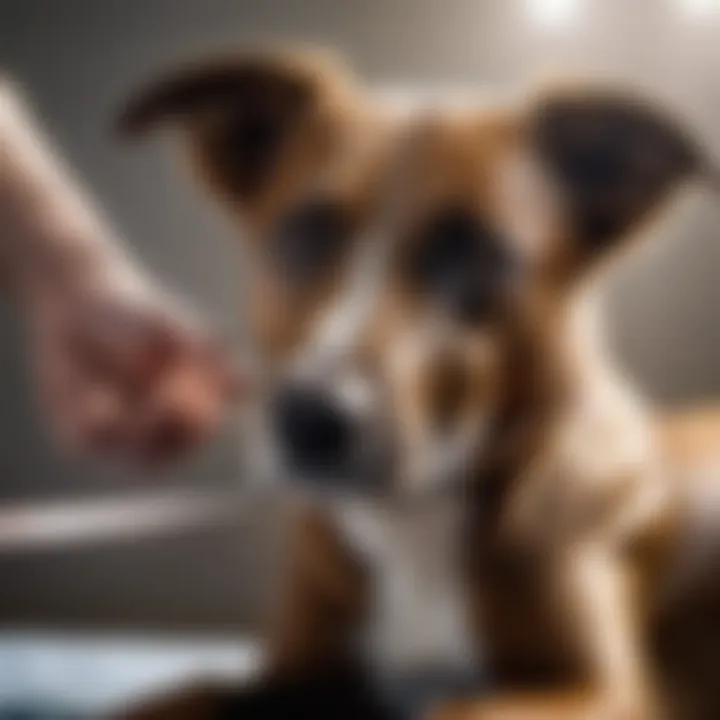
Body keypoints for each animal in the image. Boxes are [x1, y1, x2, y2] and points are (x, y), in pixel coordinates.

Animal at [114, 47, 720, 716]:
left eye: (476, 253)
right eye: (303, 232)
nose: (310, 419)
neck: (414, 521)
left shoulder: (600, 689)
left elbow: (458, 707)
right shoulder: (293, 674)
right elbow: (180, 696)